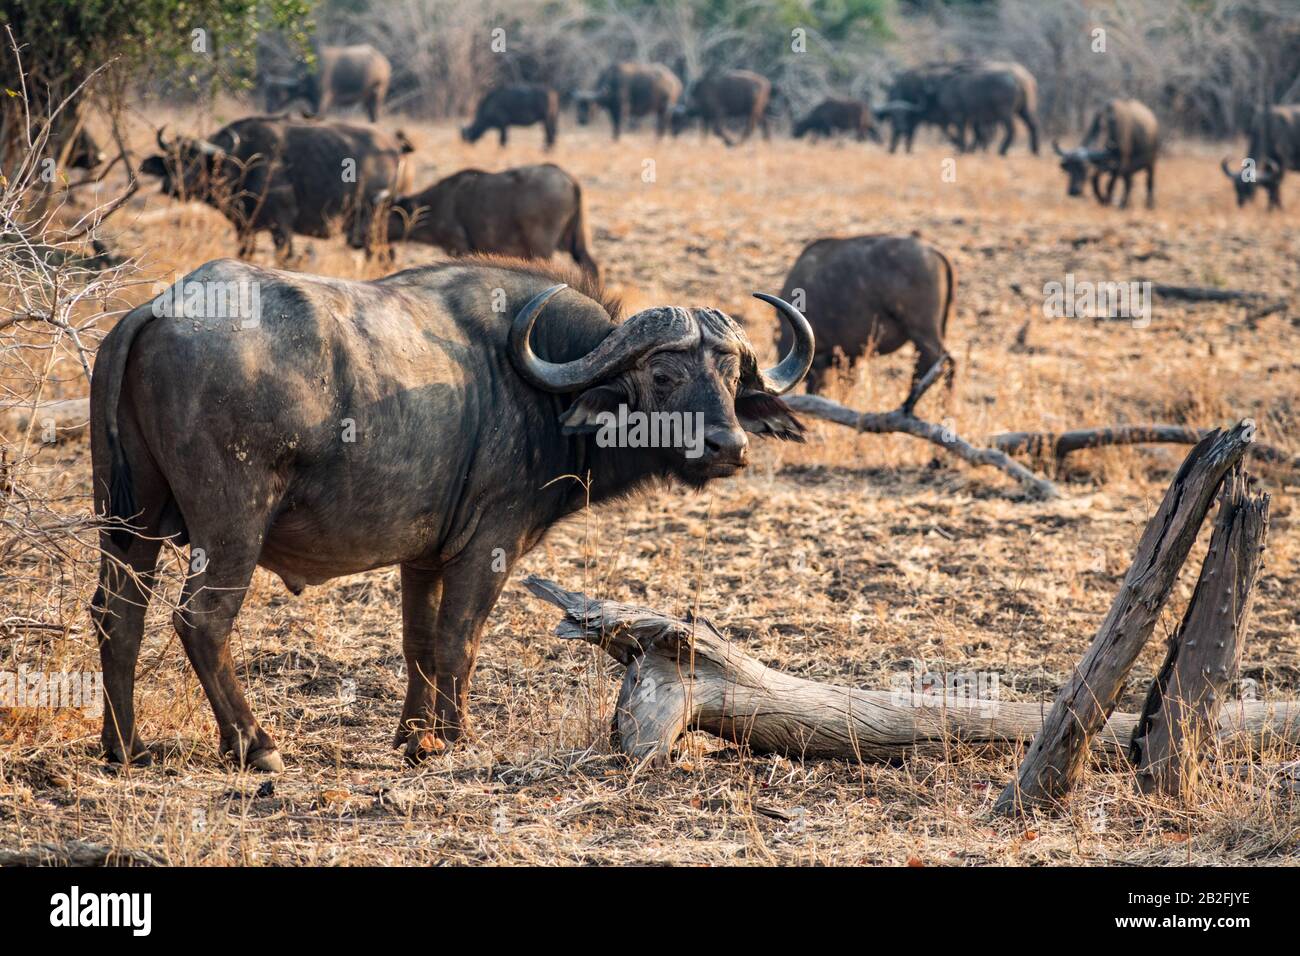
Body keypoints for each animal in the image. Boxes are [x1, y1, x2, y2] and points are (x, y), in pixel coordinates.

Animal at [89, 258, 814, 769]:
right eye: (664, 377)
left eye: (732, 375)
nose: (728, 448)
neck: (536, 387)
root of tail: (154, 311)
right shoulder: (487, 545)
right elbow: (459, 639)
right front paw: (450, 736)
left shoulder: (422, 557)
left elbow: (419, 641)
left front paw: (414, 735)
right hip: (231, 524)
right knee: (202, 619)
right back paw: (255, 743)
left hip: (128, 524)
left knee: (116, 617)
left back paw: (125, 746)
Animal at [139, 115, 413, 260]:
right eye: (171, 160)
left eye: (198, 163)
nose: (173, 186)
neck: (244, 162)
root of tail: (394, 145)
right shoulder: (243, 228)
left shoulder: (282, 226)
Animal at [262, 44, 392, 123]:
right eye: (267, 92)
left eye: (277, 92)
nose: (268, 108)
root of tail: (383, 61)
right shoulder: (313, 103)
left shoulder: (323, 100)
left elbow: (320, 117)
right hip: (367, 99)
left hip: (378, 94)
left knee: (376, 115)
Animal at [357, 164, 599, 278]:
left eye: (372, 215)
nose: (355, 238)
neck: (437, 203)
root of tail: (568, 177)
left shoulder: (458, 247)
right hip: (575, 242)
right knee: (591, 266)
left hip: (541, 247)